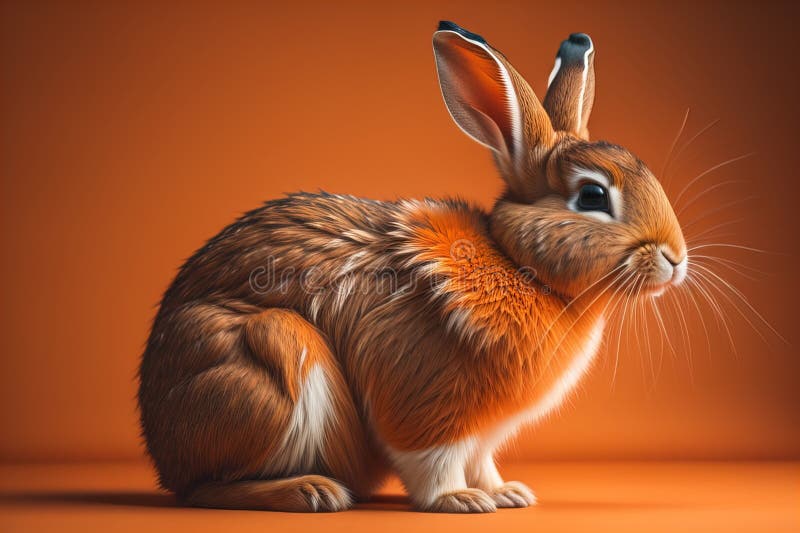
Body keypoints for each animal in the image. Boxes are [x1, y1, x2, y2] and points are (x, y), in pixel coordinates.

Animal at [138, 20, 687, 513]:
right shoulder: (424, 404)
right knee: (206, 489)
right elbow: (430, 461)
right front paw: (459, 501)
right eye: (593, 195)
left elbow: (481, 461)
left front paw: (506, 494)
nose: (676, 259)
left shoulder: (483, 434)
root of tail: (162, 447)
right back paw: (310, 491)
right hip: (267, 358)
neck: (518, 263)